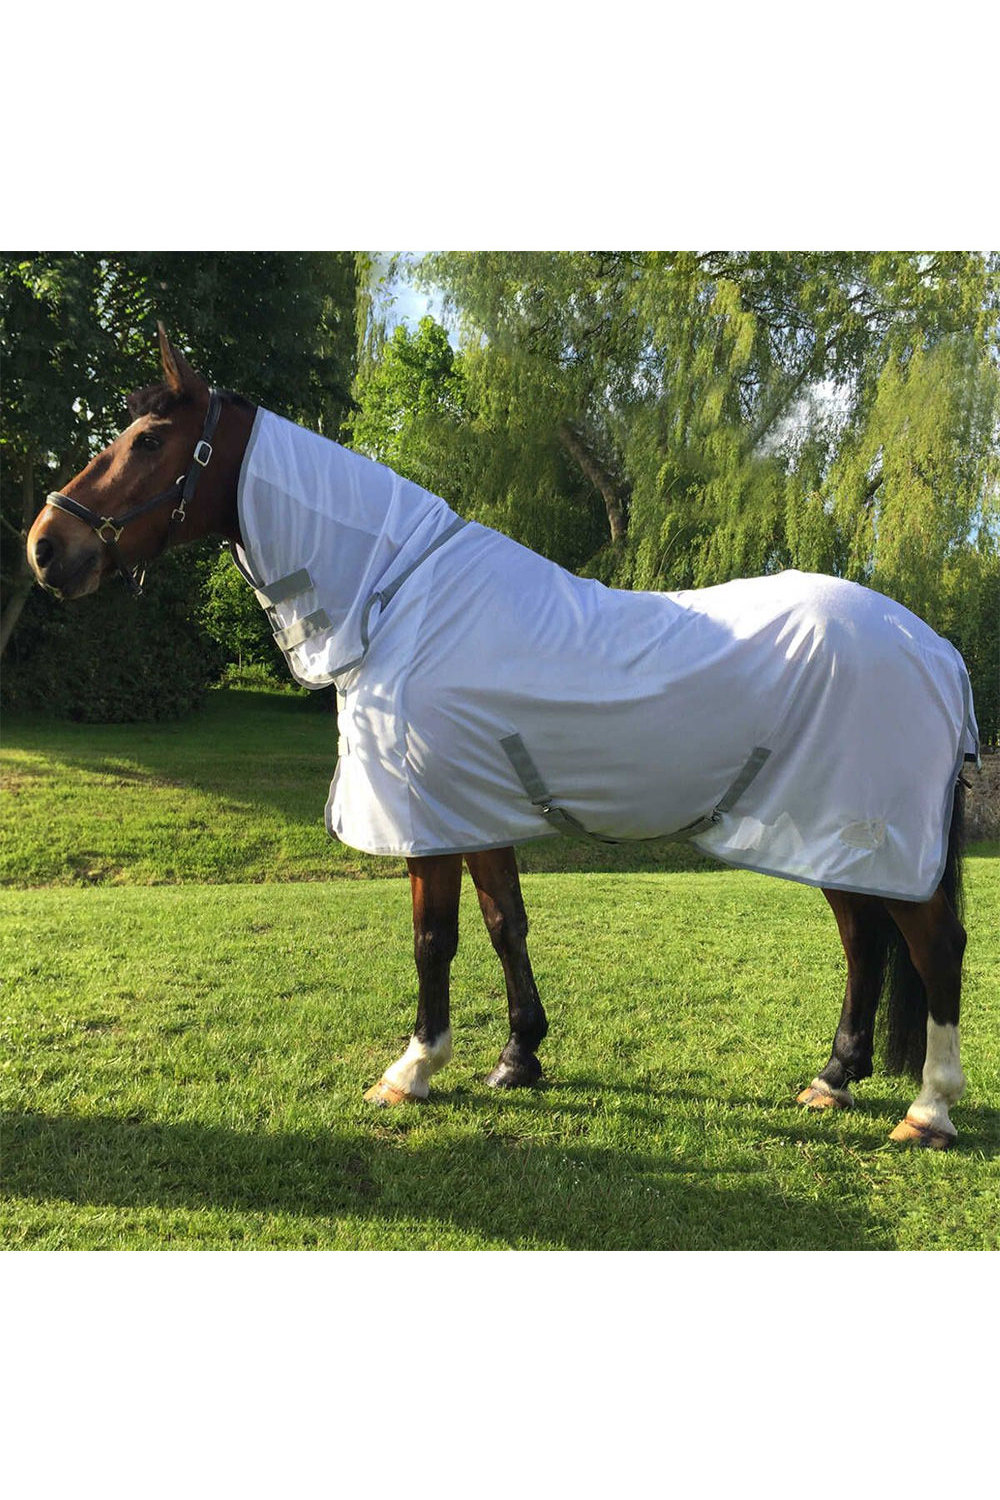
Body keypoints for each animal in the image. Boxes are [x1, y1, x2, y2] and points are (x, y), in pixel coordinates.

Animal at [27, 325, 977, 1149]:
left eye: (151, 440)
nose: (47, 547)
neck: (397, 596)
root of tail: (934, 647)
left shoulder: (429, 817)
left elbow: (433, 939)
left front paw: (413, 1069)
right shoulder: (475, 810)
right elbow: (504, 924)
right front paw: (519, 1057)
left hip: (869, 830)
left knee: (933, 948)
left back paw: (928, 1111)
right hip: (837, 834)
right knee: (863, 942)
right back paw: (833, 1079)